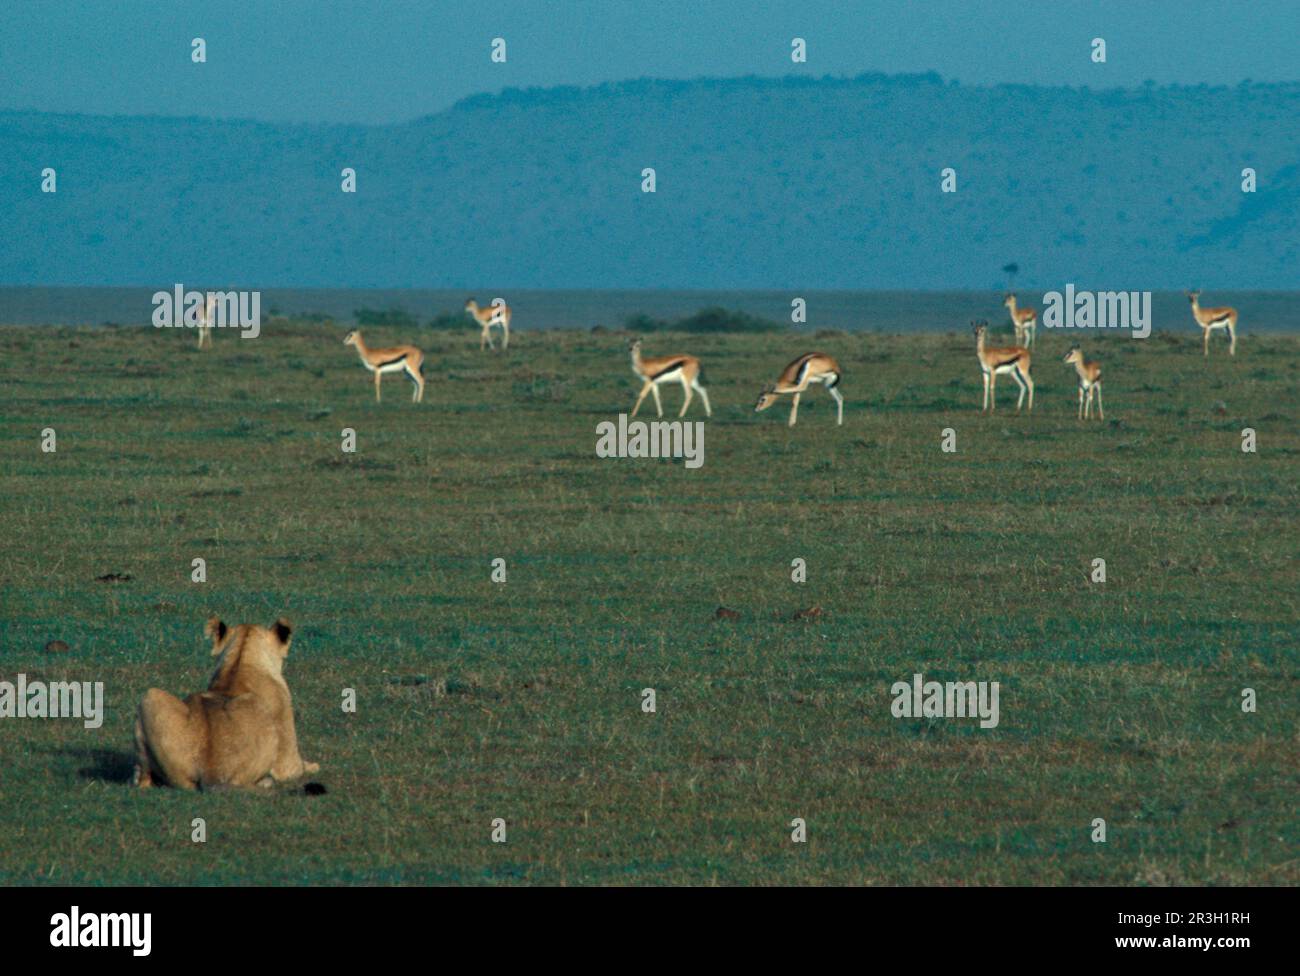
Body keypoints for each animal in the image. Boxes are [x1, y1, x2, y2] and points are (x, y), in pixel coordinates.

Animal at [133, 616, 320, 790]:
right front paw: (313, 765)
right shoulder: (288, 763)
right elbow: (303, 767)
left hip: (150, 696)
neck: (239, 664)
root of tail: (209, 773)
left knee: (143, 777)